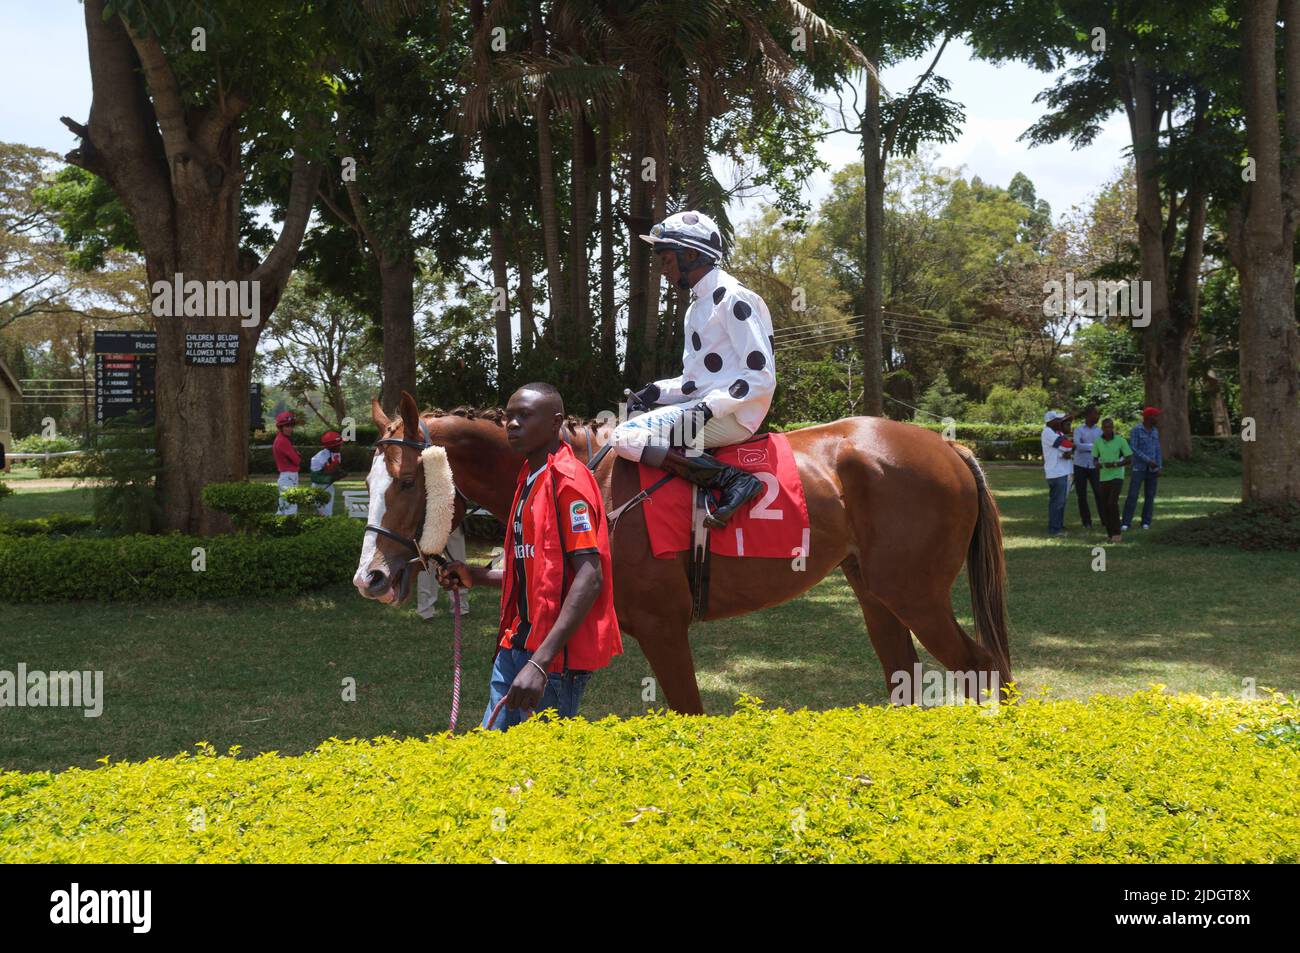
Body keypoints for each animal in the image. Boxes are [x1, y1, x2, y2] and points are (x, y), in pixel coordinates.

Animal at [353, 390, 1012, 712]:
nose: (372, 578)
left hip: (917, 593)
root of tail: (950, 448)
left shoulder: (663, 627)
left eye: (407, 482)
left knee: (985, 666)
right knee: (904, 677)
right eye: (368, 480)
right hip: (876, 592)